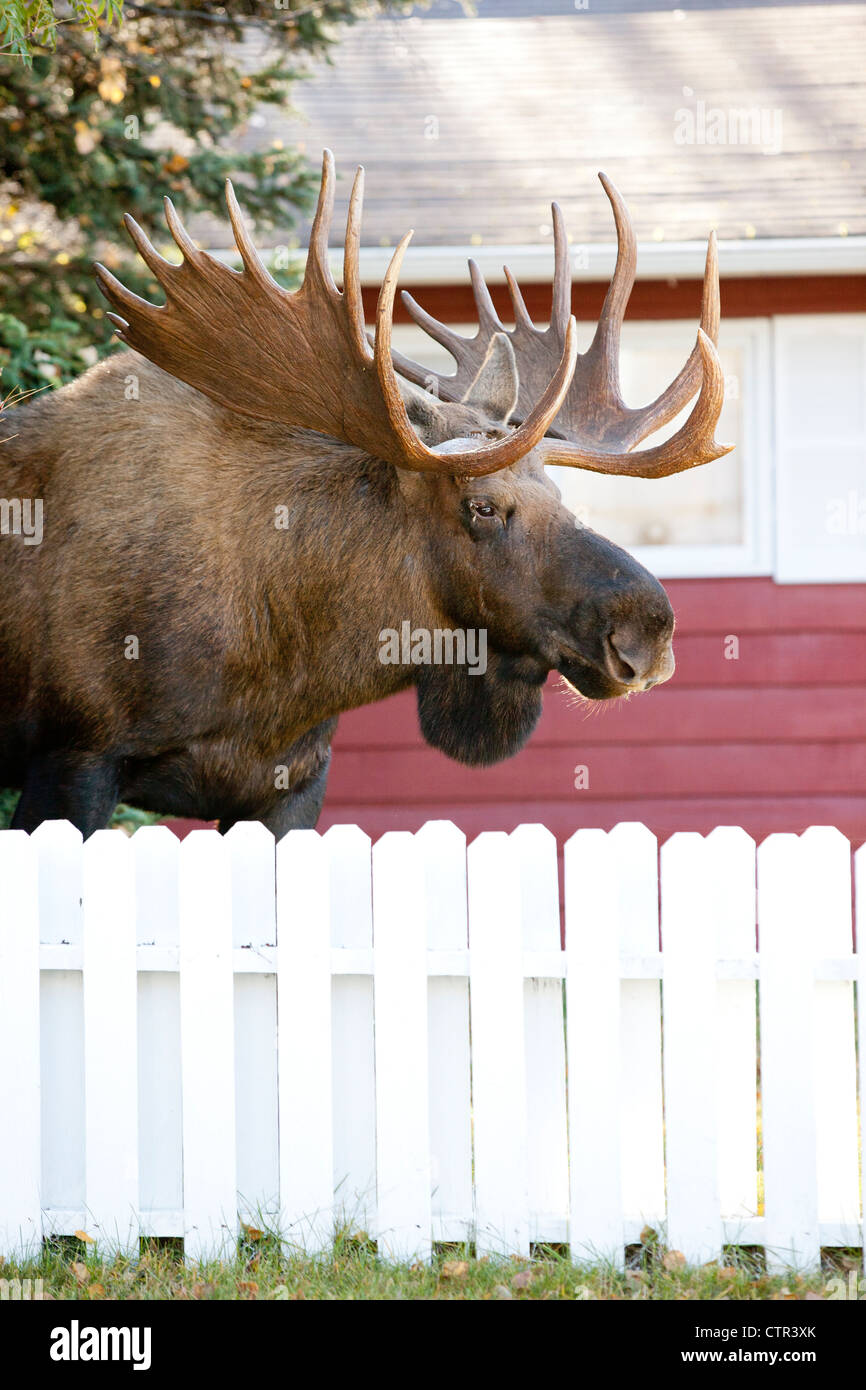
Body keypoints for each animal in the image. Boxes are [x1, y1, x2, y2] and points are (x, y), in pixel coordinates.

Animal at [0, 152, 733, 834]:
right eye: (481, 506)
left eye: (559, 492)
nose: (648, 630)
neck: (284, 665)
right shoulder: (77, 756)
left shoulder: (292, 784)